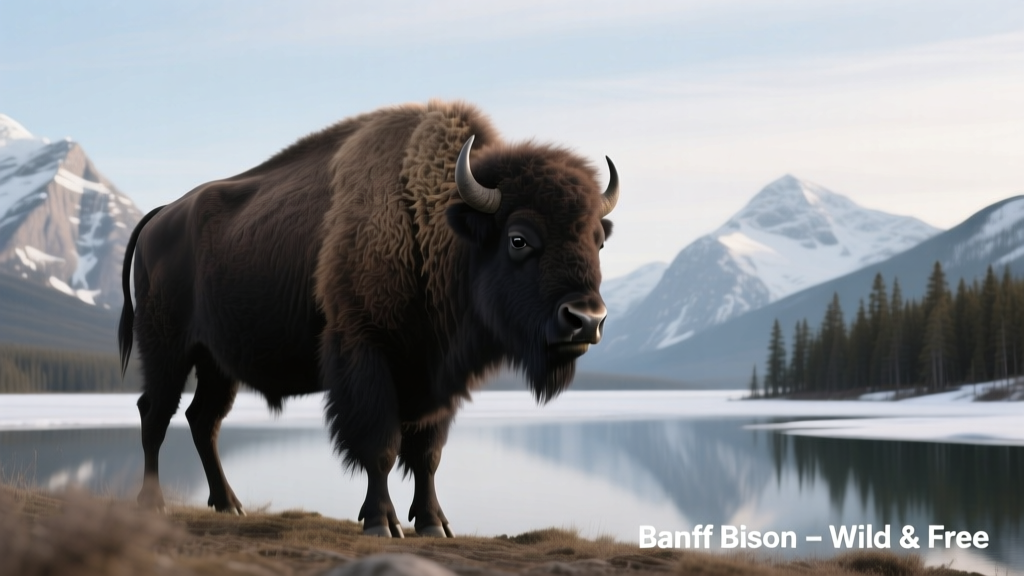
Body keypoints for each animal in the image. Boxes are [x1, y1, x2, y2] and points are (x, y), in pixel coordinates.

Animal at [119, 101, 618, 537]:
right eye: (518, 239)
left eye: (598, 240)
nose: (586, 319)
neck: (430, 222)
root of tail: (162, 215)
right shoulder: (366, 355)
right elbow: (381, 446)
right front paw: (382, 523)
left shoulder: (434, 376)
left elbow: (427, 455)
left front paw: (434, 524)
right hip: (167, 348)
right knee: (155, 412)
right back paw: (153, 504)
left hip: (217, 363)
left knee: (203, 420)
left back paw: (230, 505)